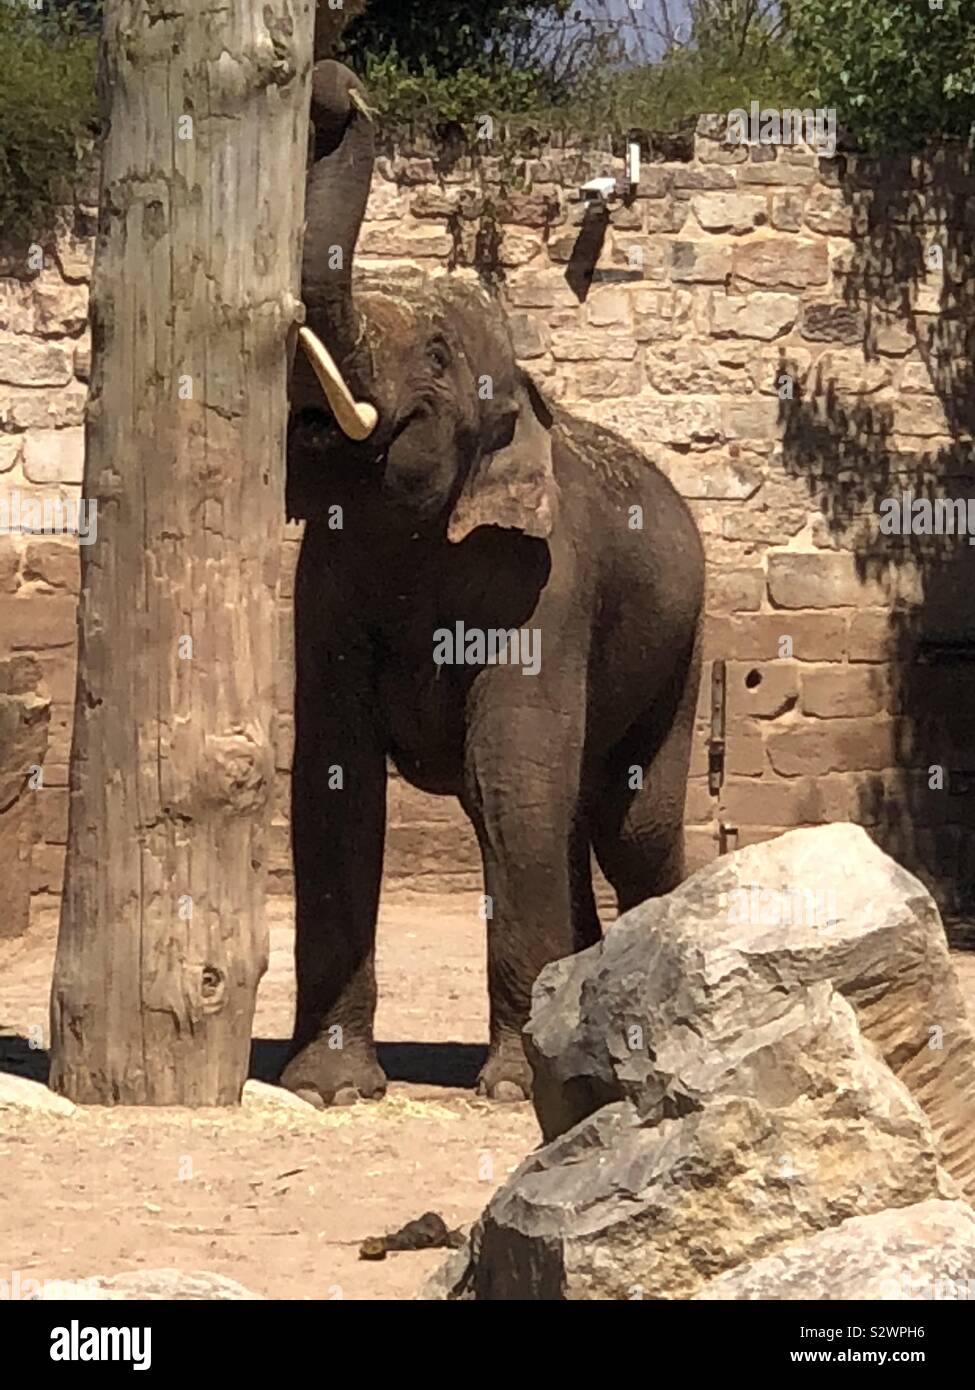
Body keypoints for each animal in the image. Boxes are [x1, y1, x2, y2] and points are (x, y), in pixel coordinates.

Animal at [280, 60, 706, 1106]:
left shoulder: (546, 583)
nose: (335, 85)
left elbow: (510, 772)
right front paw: (328, 1089)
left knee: (628, 823)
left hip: (686, 644)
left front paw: (514, 1091)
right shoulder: (325, 582)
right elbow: (335, 778)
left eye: (437, 354)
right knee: (566, 821)